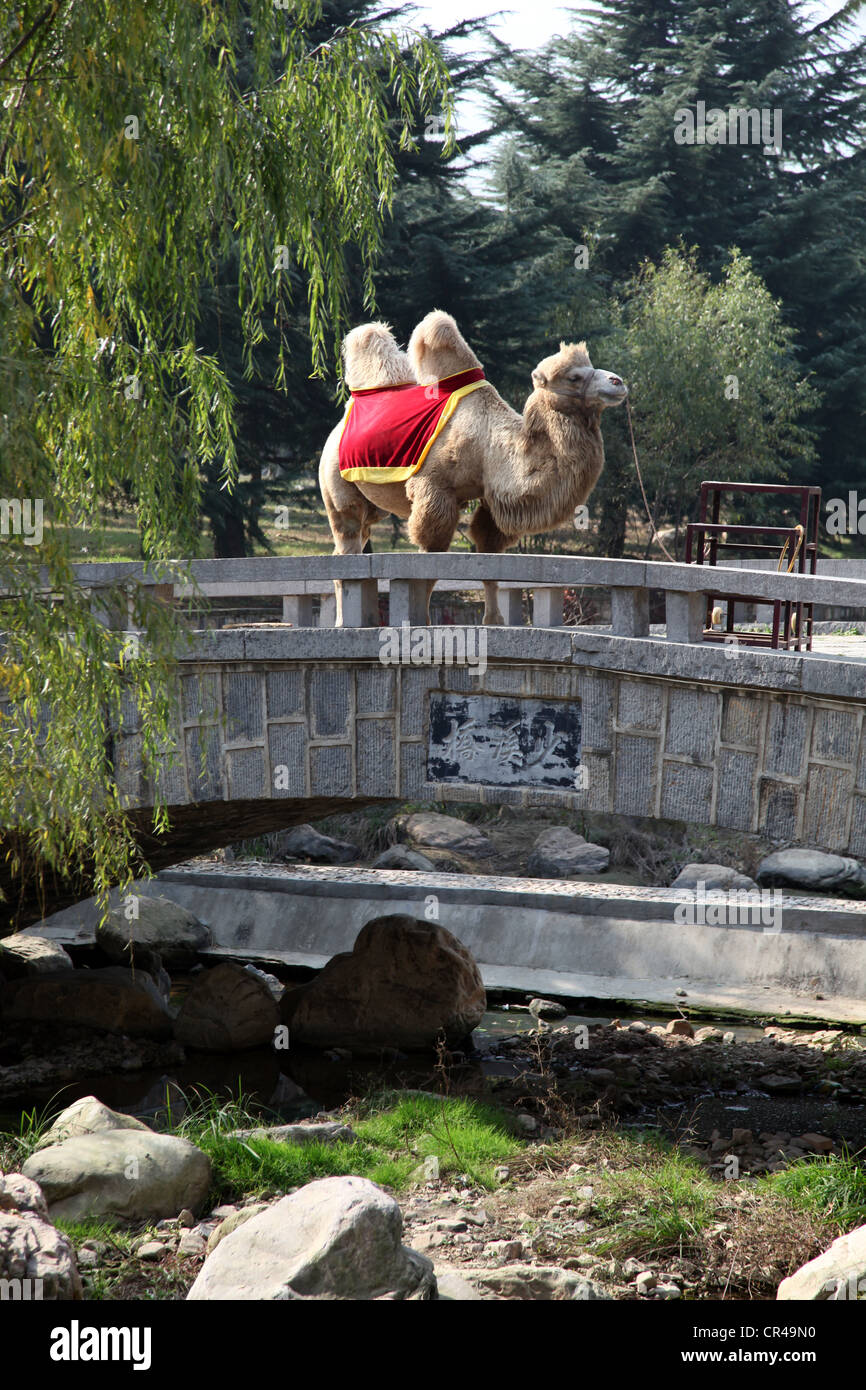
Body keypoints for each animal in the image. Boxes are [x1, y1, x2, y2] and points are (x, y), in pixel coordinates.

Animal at [318, 310, 628, 624]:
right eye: (574, 377)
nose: (618, 381)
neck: (489, 443)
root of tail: (340, 422)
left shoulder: (492, 497)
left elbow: (489, 559)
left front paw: (494, 620)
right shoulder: (435, 490)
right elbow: (429, 566)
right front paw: (422, 620)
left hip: (373, 509)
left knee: (350, 549)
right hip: (337, 485)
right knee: (347, 540)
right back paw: (344, 622)